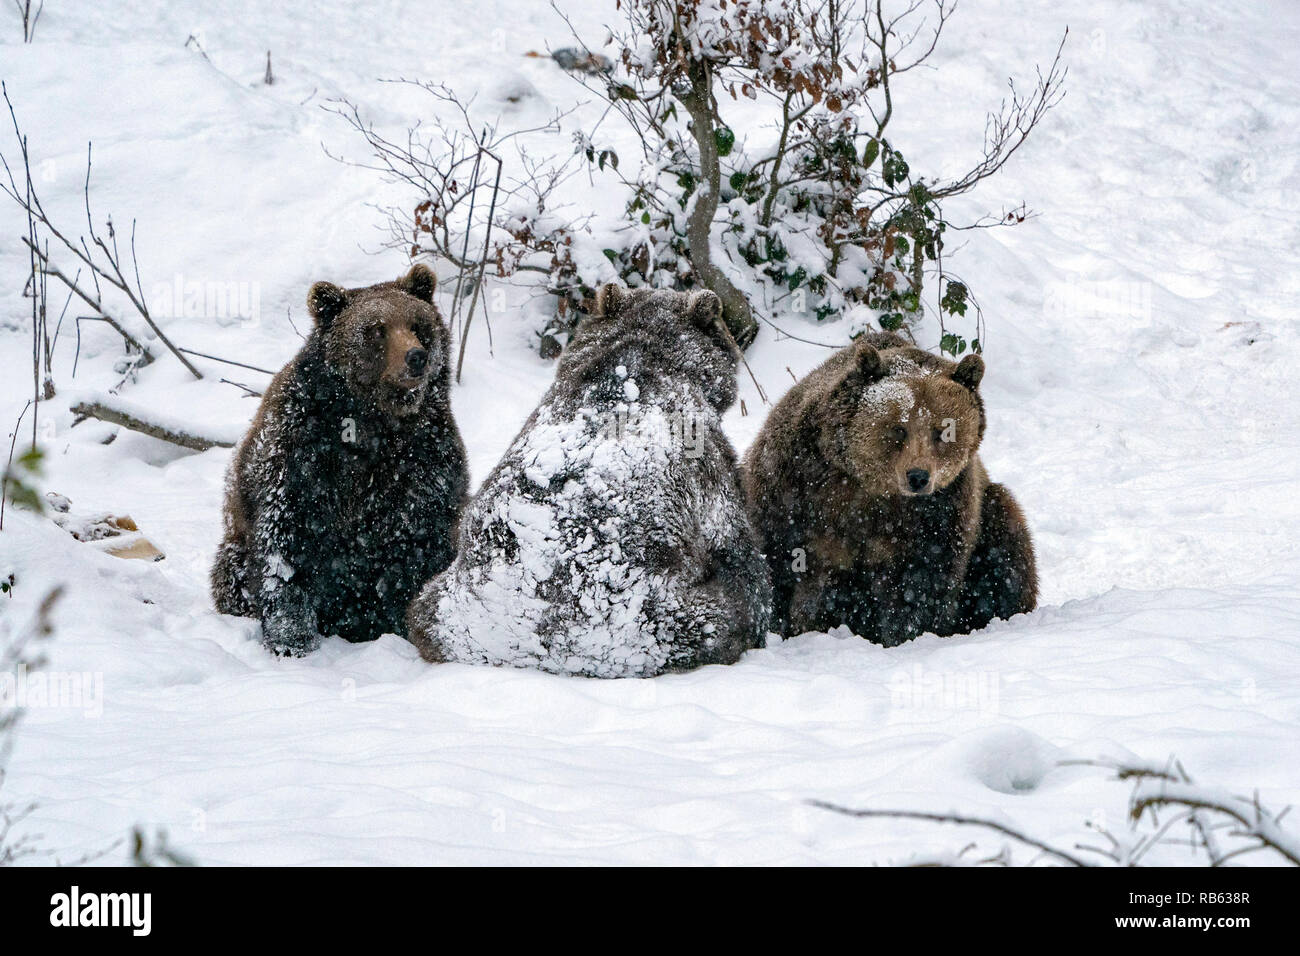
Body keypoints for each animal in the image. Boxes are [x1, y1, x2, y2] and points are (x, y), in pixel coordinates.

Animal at [211, 264, 469, 655]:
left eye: (417, 324)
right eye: (376, 329)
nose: (416, 357)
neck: (373, 420)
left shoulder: (425, 458)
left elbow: (420, 537)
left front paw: (402, 622)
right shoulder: (301, 451)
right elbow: (283, 540)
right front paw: (291, 639)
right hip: (234, 547)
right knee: (232, 575)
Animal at [406, 285, 772, 677]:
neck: (648, 351)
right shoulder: (706, 468)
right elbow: (738, 550)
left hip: (443, 606)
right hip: (662, 624)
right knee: (730, 610)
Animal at [743, 331, 1036, 646]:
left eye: (942, 431)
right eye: (899, 428)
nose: (918, 476)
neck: (870, 489)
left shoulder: (942, 508)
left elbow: (922, 579)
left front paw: (905, 632)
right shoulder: (794, 481)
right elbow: (782, 558)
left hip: (988, 515)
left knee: (1007, 541)